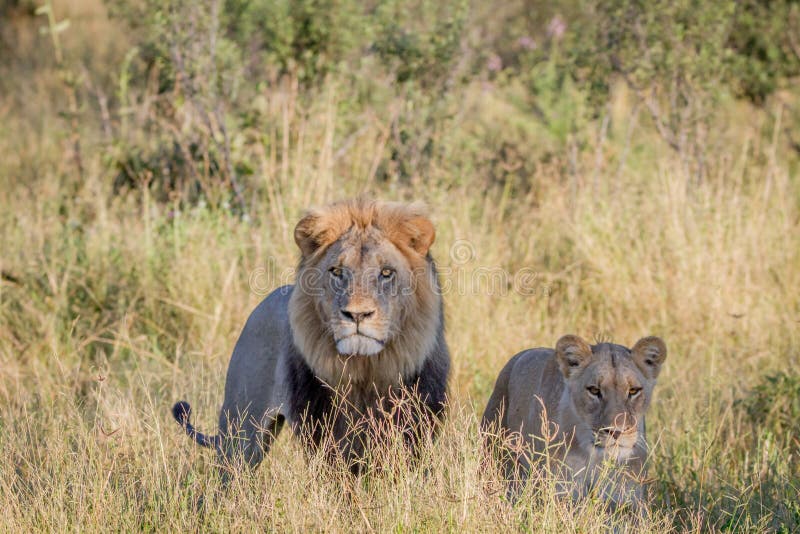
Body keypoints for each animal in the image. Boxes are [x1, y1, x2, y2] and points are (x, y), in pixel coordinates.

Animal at [171, 198, 450, 476]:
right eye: (336, 271)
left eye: (387, 273)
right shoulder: (325, 431)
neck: (366, 369)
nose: (357, 314)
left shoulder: (414, 428)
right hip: (241, 433)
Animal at [481, 335, 667, 508]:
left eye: (633, 390)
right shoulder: (562, 493)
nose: (616, 431)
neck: (596, 457)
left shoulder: (627, 499)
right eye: (594, 390)